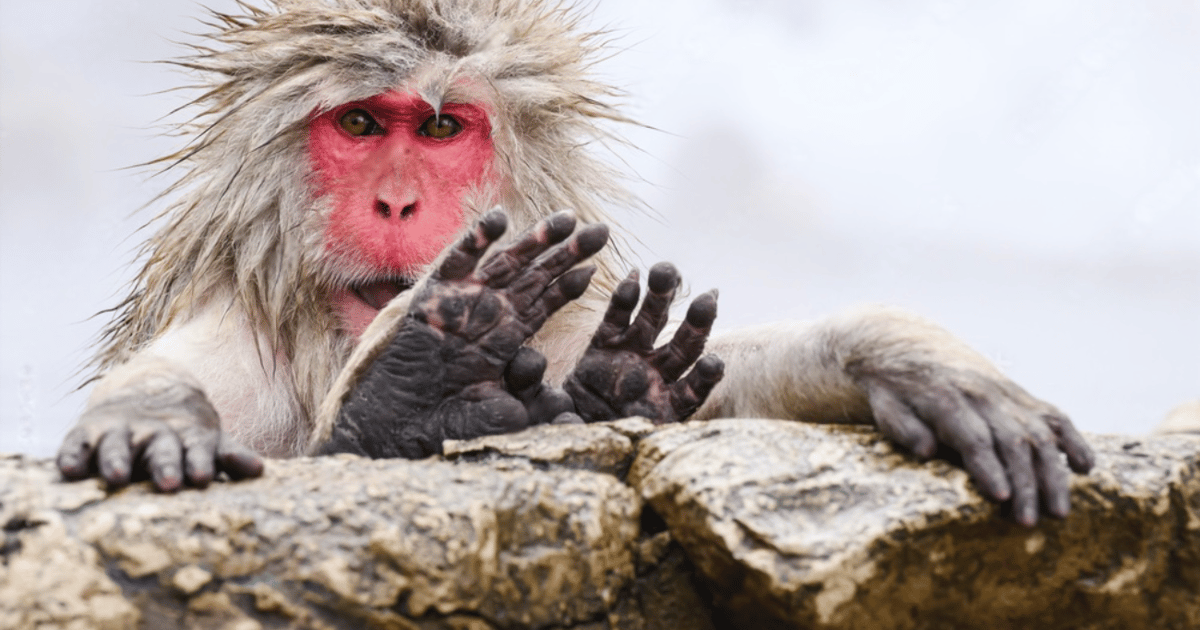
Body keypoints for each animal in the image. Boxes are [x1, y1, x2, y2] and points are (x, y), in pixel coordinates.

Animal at [55, 0, 1093, 527]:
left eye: (439, 131)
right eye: (359, 125)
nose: (397, 202)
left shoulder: (553, 325)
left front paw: (896, 355)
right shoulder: (241, 337)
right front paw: (152, 418)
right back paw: (420, 388)